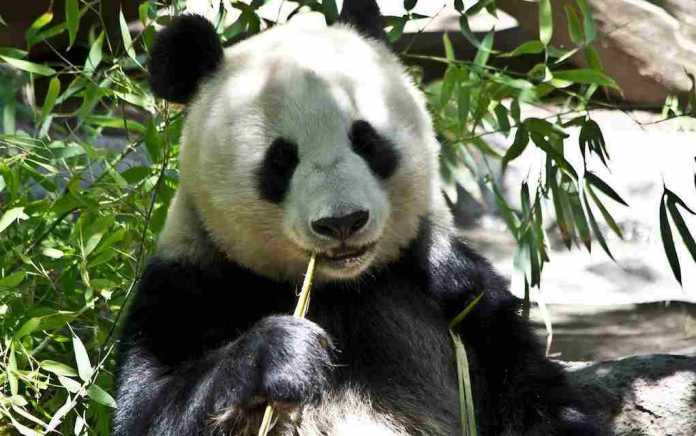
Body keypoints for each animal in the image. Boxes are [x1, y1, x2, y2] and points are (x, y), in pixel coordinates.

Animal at [114, 2, 605, 435]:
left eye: (367, 141)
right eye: (280, 161)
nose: (343, 222)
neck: (340, 289)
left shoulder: (452, 288)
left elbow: (535, 397)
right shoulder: (189, 285)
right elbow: (146, 409)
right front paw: (285, 352)